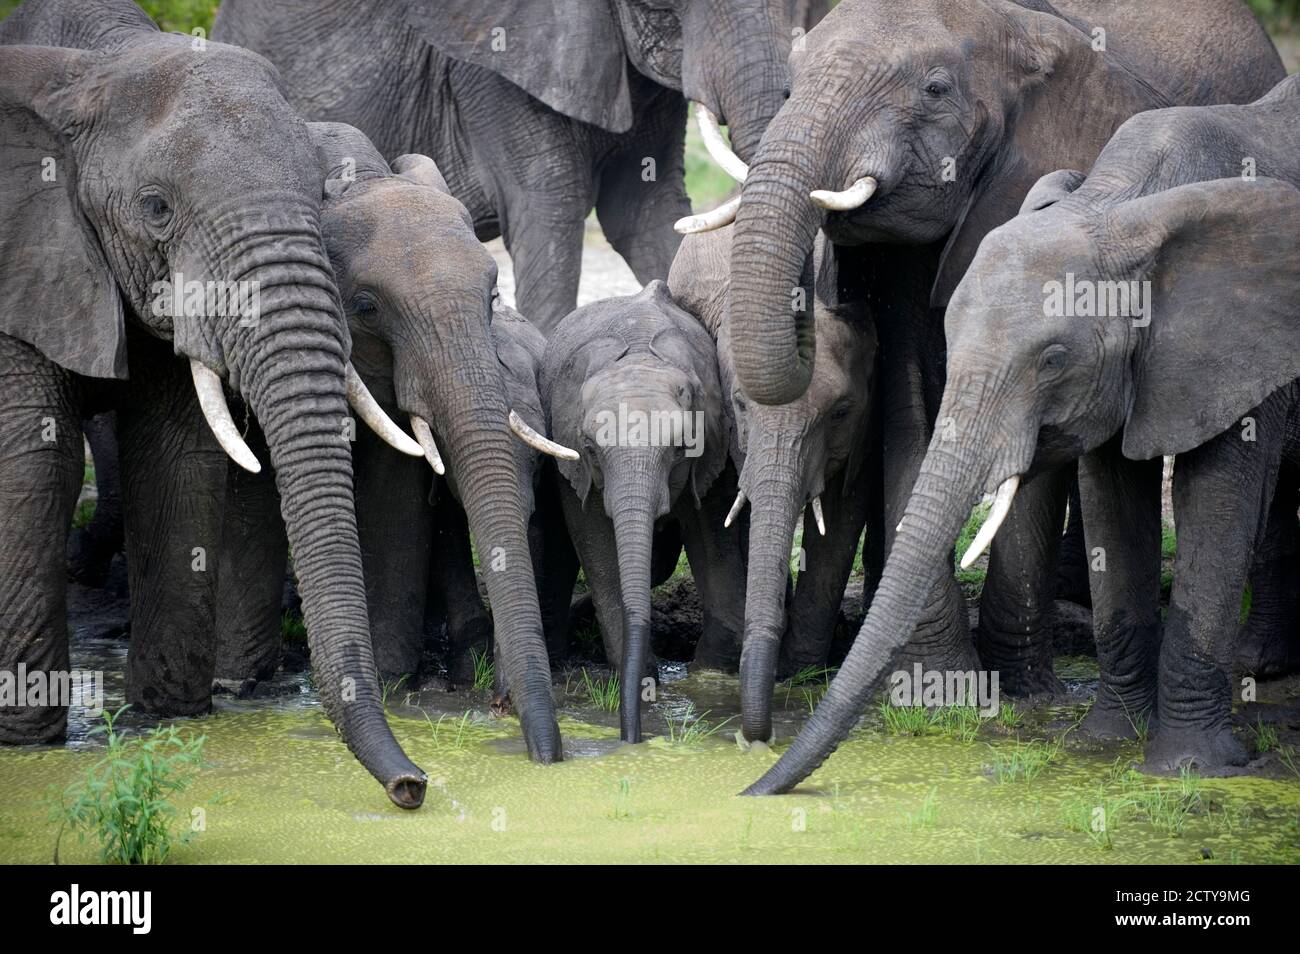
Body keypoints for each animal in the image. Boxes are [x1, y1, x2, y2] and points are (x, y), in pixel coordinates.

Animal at [0, 0, 427, 807]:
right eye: (155, 208)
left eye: (321, 196)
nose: (412, 787)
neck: (93, 73)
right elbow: (33, 468)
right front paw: (26, 744)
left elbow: (175, 462)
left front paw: (168, 723)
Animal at [210, 122, 575, 761]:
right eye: (366, 307)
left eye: (493, 295)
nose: (548, 758)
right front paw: (235, 686)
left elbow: (395, 488)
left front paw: (392, 681)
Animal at [539, 281, 745, 741]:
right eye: (592, 448)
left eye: (680, 448)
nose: (631, 738)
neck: (638, 356)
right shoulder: (571, 453)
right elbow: (595, 541)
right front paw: (640, 677)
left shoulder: (714, 447)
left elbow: (714, 535)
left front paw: (708, 675)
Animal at [668, 227, 878, 743]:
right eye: (741, 405)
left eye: (840, 413)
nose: (755, 739)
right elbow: (710, 509)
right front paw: (714, 671)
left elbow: (843, 513)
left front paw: (801, 671)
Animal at [719, 0, 1286, 721]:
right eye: (790, 85)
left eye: (935, 90)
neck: (1009, 25)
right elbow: (910, 404)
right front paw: (936, 689)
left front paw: (1016, 690)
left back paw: (1253, 661)